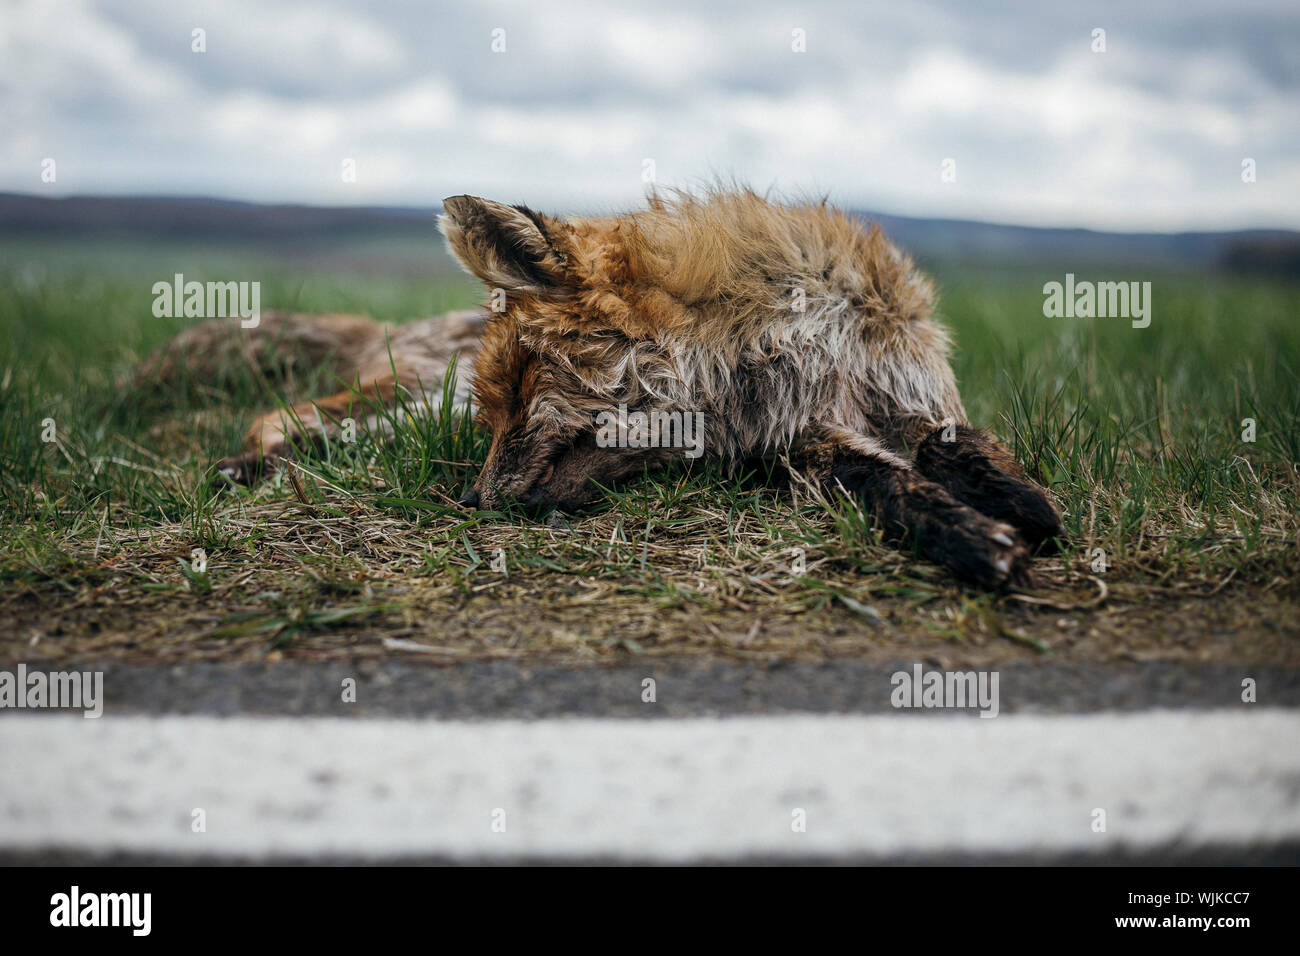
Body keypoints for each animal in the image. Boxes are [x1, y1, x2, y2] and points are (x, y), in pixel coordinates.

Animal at [136, 188, 1064, 589]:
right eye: (497, 404)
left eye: (525, 383)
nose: (470, 502)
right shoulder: (808, 442)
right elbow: (889, 486)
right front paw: (975, 539)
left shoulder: (899, 398)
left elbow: (959, 450)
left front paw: (1024, 509)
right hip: (412, 409)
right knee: (286, 414)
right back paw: (250, 469)